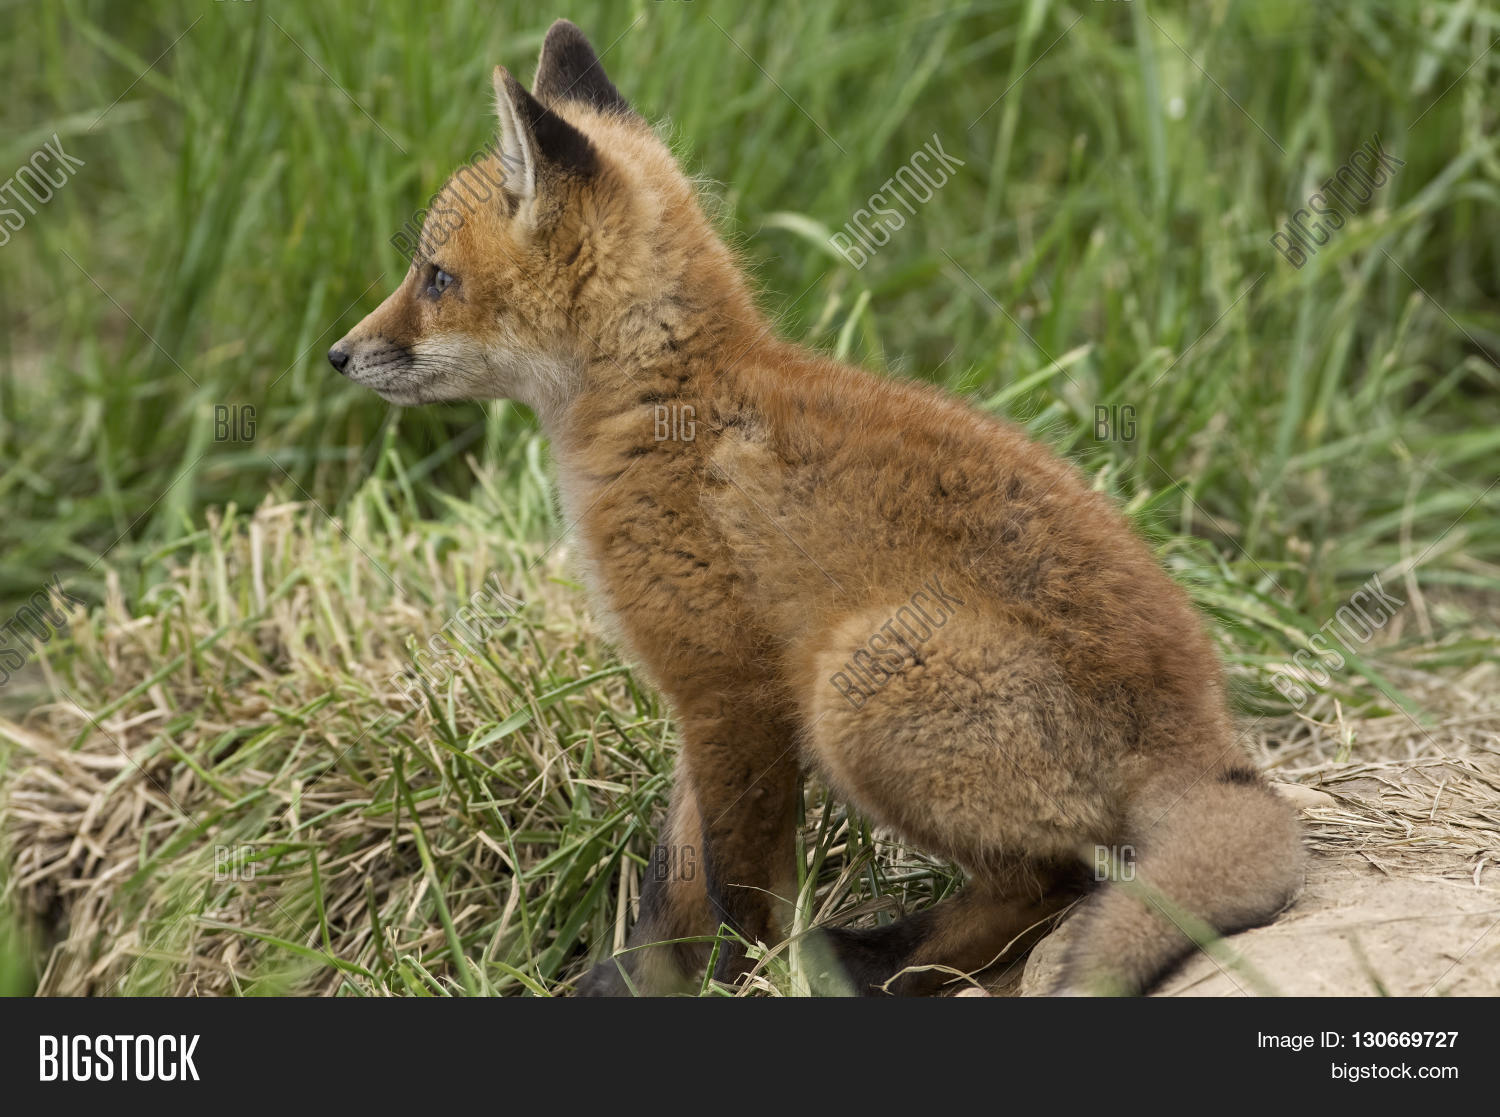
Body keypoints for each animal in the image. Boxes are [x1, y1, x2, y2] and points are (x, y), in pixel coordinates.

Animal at [329, 19, 1304, 996]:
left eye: (435, 278)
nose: (339, 353)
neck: (669, 408)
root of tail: (1206, 734)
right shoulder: (700, 697)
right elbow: (672, 883)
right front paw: (638, 981)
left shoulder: (731, 687)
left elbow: (740, 884)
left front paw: (740, 977)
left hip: (859, 677)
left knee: (1053, 880)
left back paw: (870, 959)